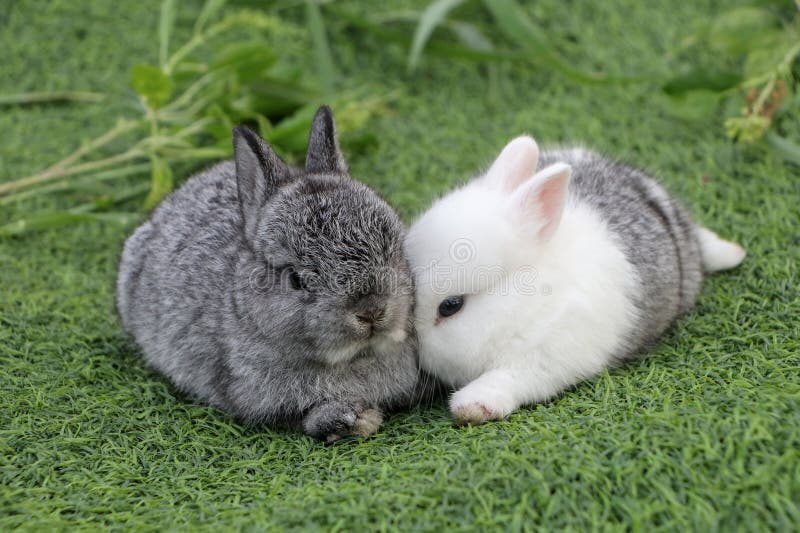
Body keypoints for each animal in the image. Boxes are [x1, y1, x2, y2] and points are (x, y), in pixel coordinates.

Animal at [404, 136, 745, 425]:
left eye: (451, 306)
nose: (412, 348)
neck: (528, 301)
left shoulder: (549, 356)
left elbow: (509, 378)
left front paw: (472, 406)